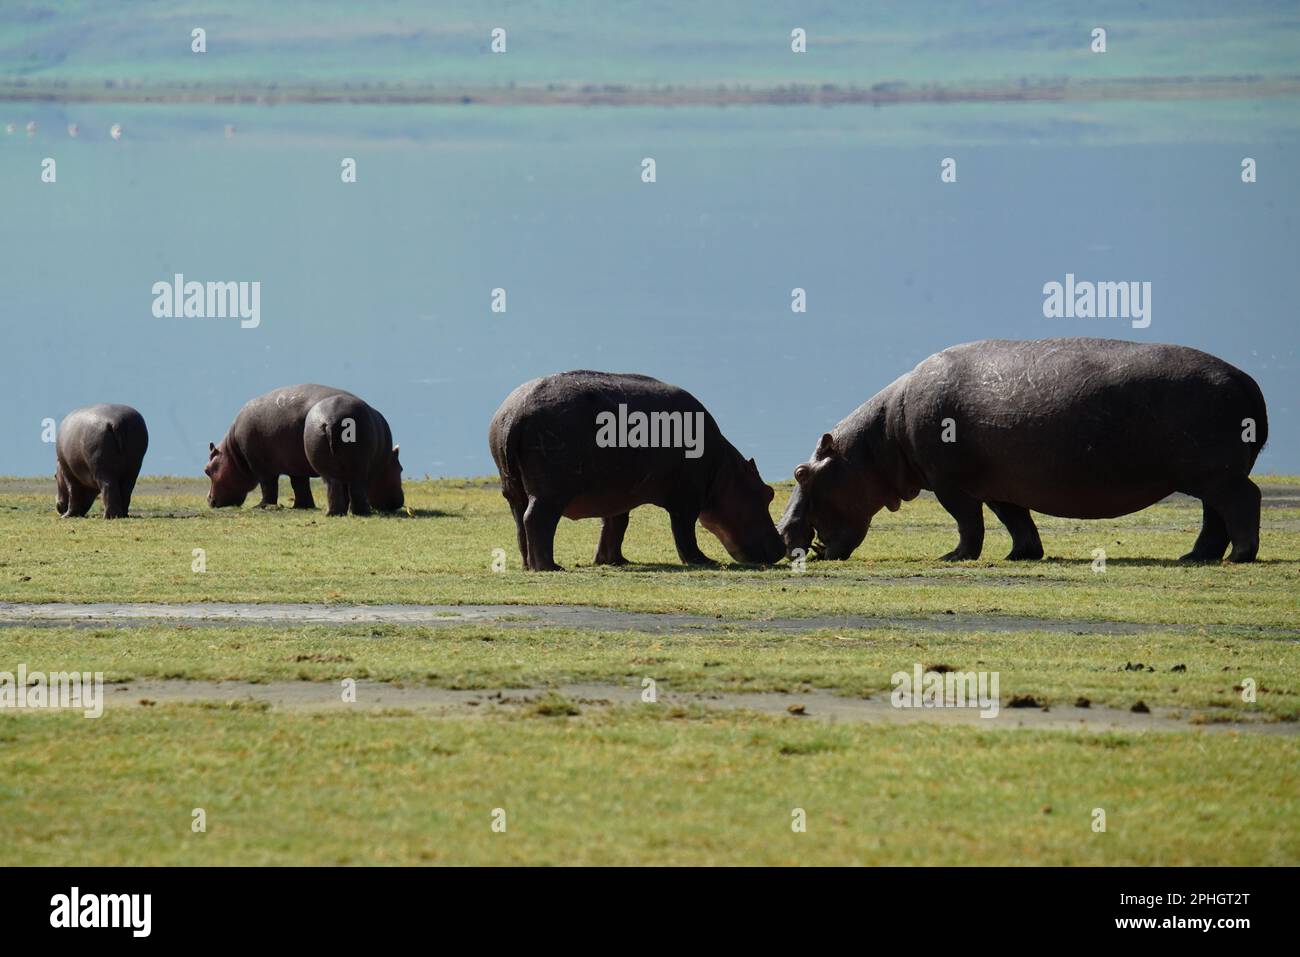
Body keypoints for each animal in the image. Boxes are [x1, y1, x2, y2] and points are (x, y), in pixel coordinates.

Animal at [489, 371, 785, 570]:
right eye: (767, 493)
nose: (782, 547)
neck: (724, 469)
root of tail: (514, 416)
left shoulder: (616, 495)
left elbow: (615, 525)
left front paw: (614, 561)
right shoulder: (687, 500)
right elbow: (684, 532)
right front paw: (703, 561)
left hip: (513, 490)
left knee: (520, 524)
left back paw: (528, 565)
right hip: (550, 493)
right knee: (536, 521)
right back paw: (551, 567)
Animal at [778, 338, 1268, 564]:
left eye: (801, 472)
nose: (784, 532)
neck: (879, 442)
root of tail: (1246, 380)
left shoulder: (949, 484)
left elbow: (968, 522)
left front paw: (953, 557)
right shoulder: (997, 484)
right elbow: (1015, 519)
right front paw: (1022, 555)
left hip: (1216, 474)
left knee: (1244, 501)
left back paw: (1239, 556)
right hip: (1208, 477)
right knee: (1214, 515)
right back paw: (1196, 557)